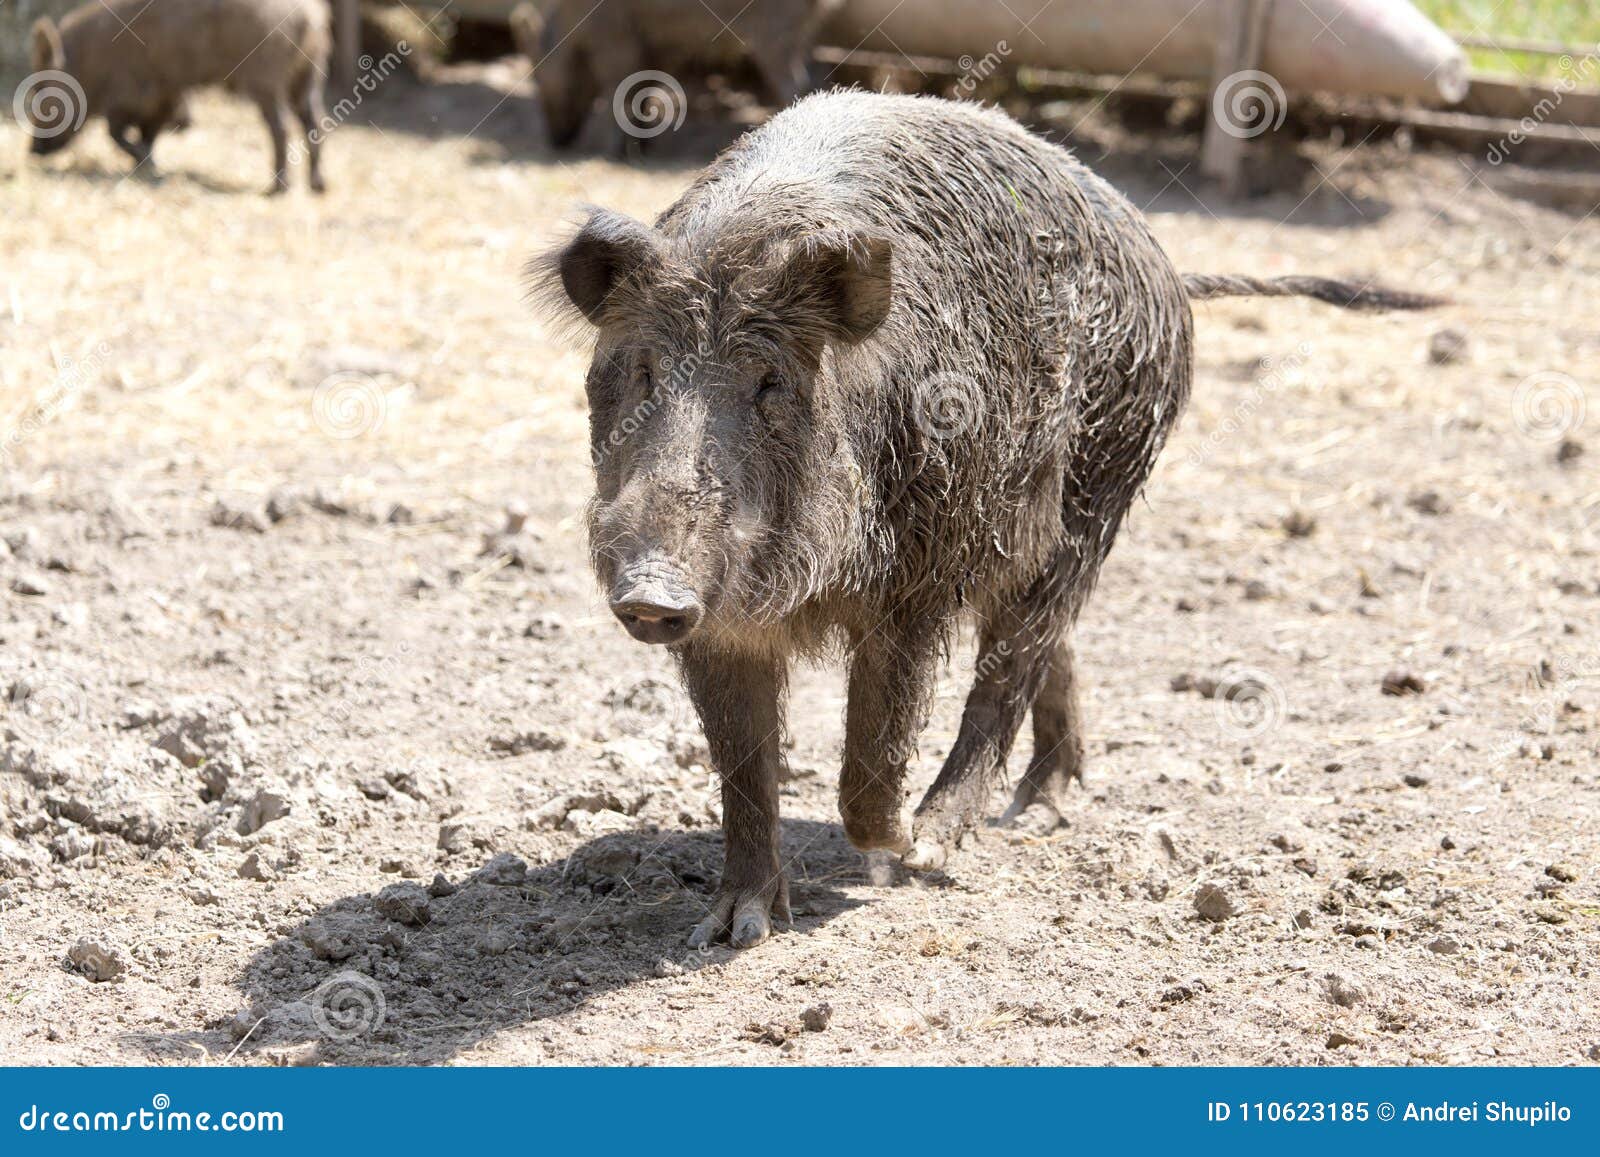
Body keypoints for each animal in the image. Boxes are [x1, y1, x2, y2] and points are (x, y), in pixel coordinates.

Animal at [22, 0, 331, 193]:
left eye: (41, 89)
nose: (32, 149)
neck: (87, 64)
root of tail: (307, 17)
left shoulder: (132, 95)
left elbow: (115, 132)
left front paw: (148, 163)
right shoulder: (163, 97)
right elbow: (147, 134)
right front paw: (148, 165)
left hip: (267, 76)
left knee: (282, 126)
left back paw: (276, 189)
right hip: (310, 71)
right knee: (314, 120)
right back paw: (318, 186)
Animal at [509, 0, 838, 152]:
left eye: (537, 79)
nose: (556, 142)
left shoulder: (616, 42)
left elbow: (619, 89)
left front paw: (612, 151)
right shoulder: (657, 51)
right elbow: (644, 90)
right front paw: (642, 145)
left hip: (775, 36)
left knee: (794, 83)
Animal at [532, 91, 1434, 949]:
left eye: (769, 382)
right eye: (644, 371)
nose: (652, 592)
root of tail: (1169, 267)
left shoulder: (918, 575)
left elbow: (872, 752)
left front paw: (894, 850)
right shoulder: (722, 623)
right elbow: (744, 768)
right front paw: (729, 930)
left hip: (1098, 489)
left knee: (1014, 660)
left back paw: (945, 837)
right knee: (1050, 643)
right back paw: (1039, 805)